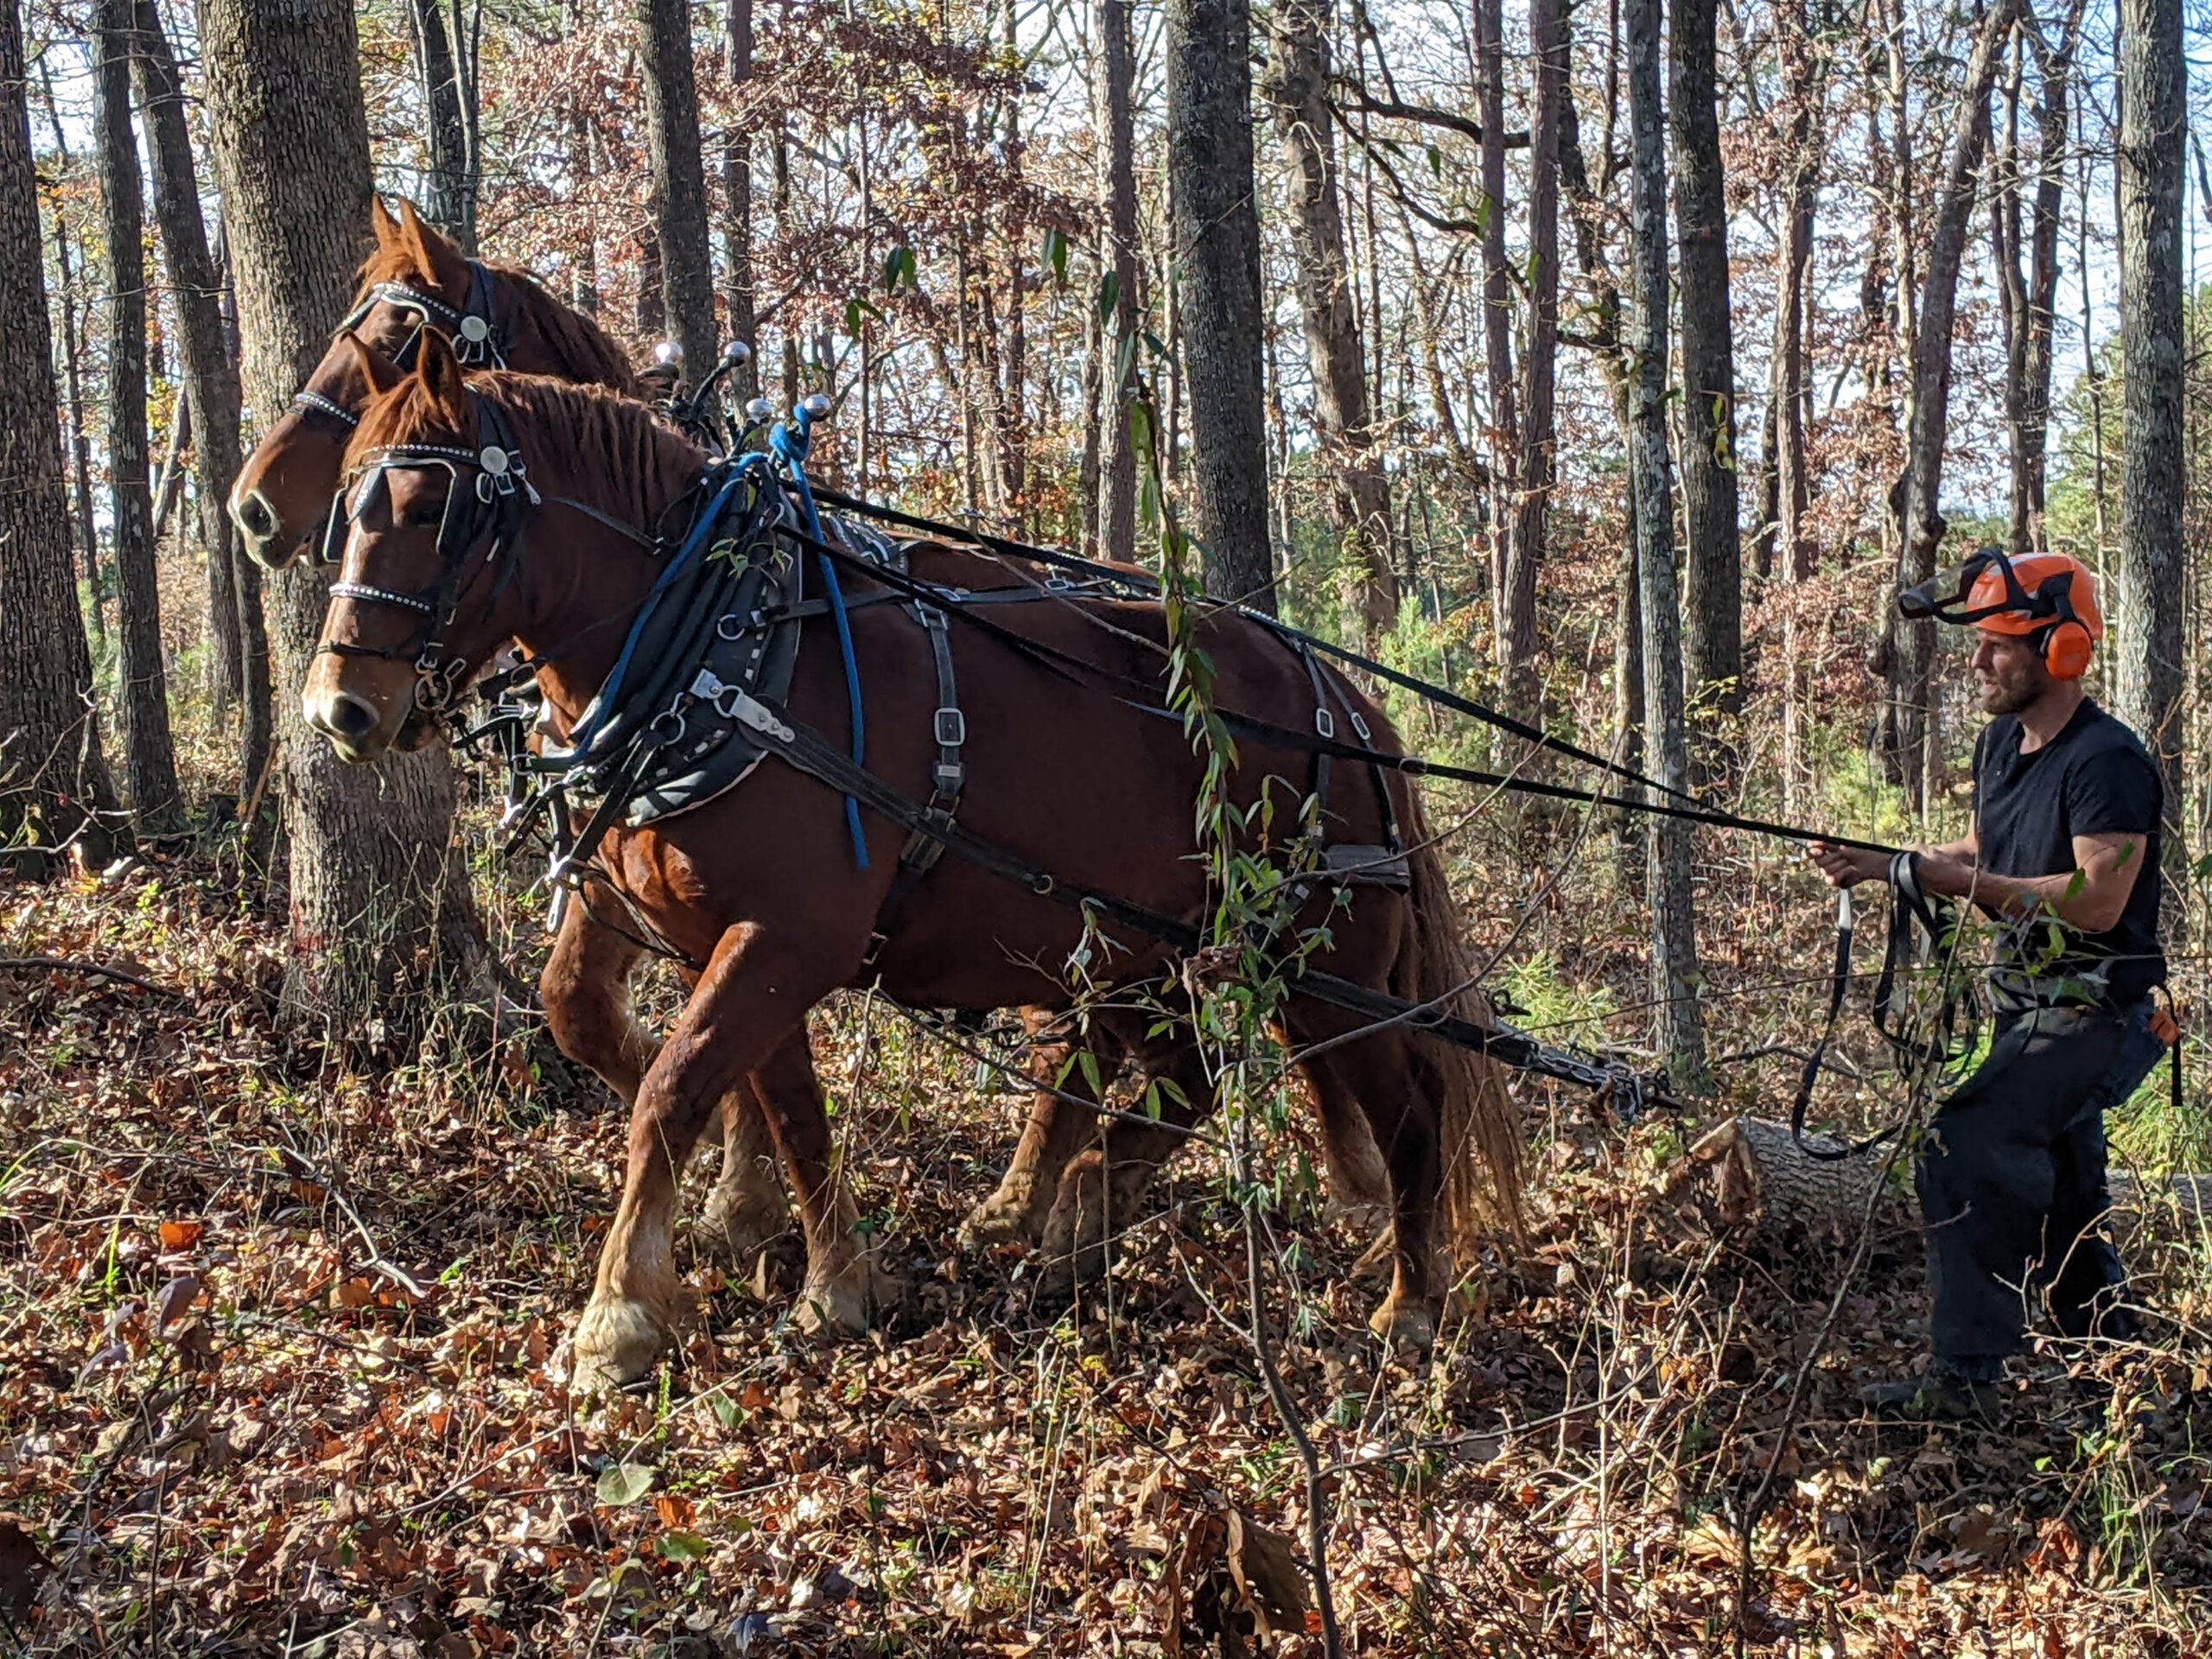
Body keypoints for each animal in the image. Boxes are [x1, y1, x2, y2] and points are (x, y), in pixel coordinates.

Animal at [299, 328, 1523, 1390]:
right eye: (344, 507)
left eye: (433, 507)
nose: (340, 709)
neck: (726, 649)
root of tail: (1344, 699)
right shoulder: (704, 929)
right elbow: (738, 1086)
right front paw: (823, 1271)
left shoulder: (790, 934)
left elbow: (670, 1088)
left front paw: (619, 1318)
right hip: (1136, 944)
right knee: (1178, 1072)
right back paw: (1072, 1221)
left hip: (1322, 962)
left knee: (1409, 1107)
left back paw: (1406, 1307)